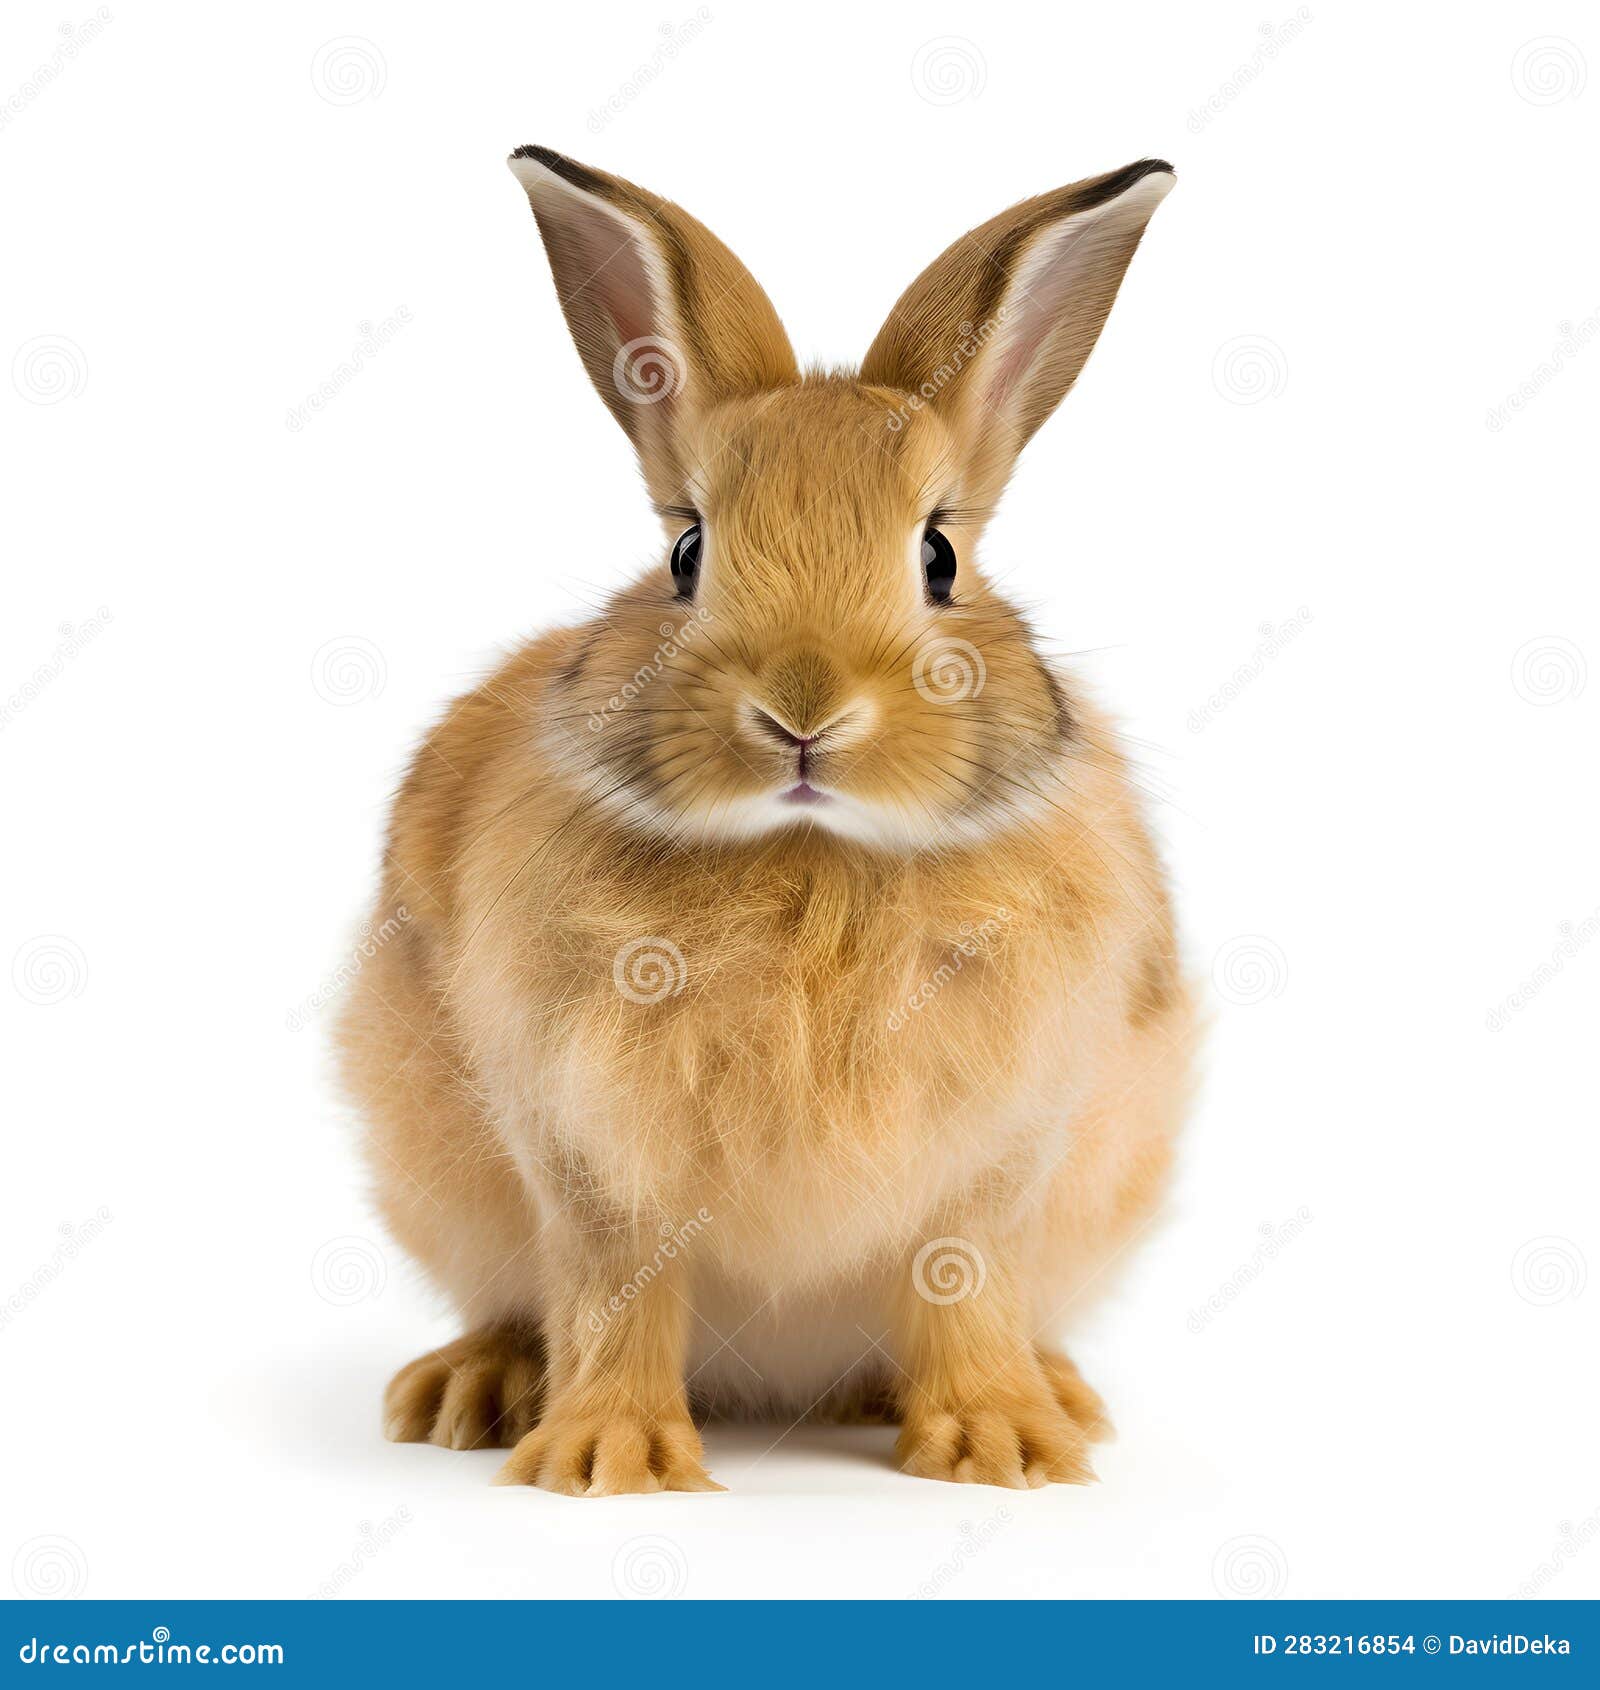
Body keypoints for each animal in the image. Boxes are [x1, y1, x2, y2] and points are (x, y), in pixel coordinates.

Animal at [336, 143, 1196, 1495]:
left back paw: (1055, 1393)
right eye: (687, 552)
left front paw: (1001, 1445)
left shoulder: (997, 1158)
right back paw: (470, 1390)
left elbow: (965, 1285)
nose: (802, 711)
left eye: (939, 557)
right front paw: (606, 1460)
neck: (813, 856)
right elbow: (616, 1292)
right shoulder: (593, 1153)